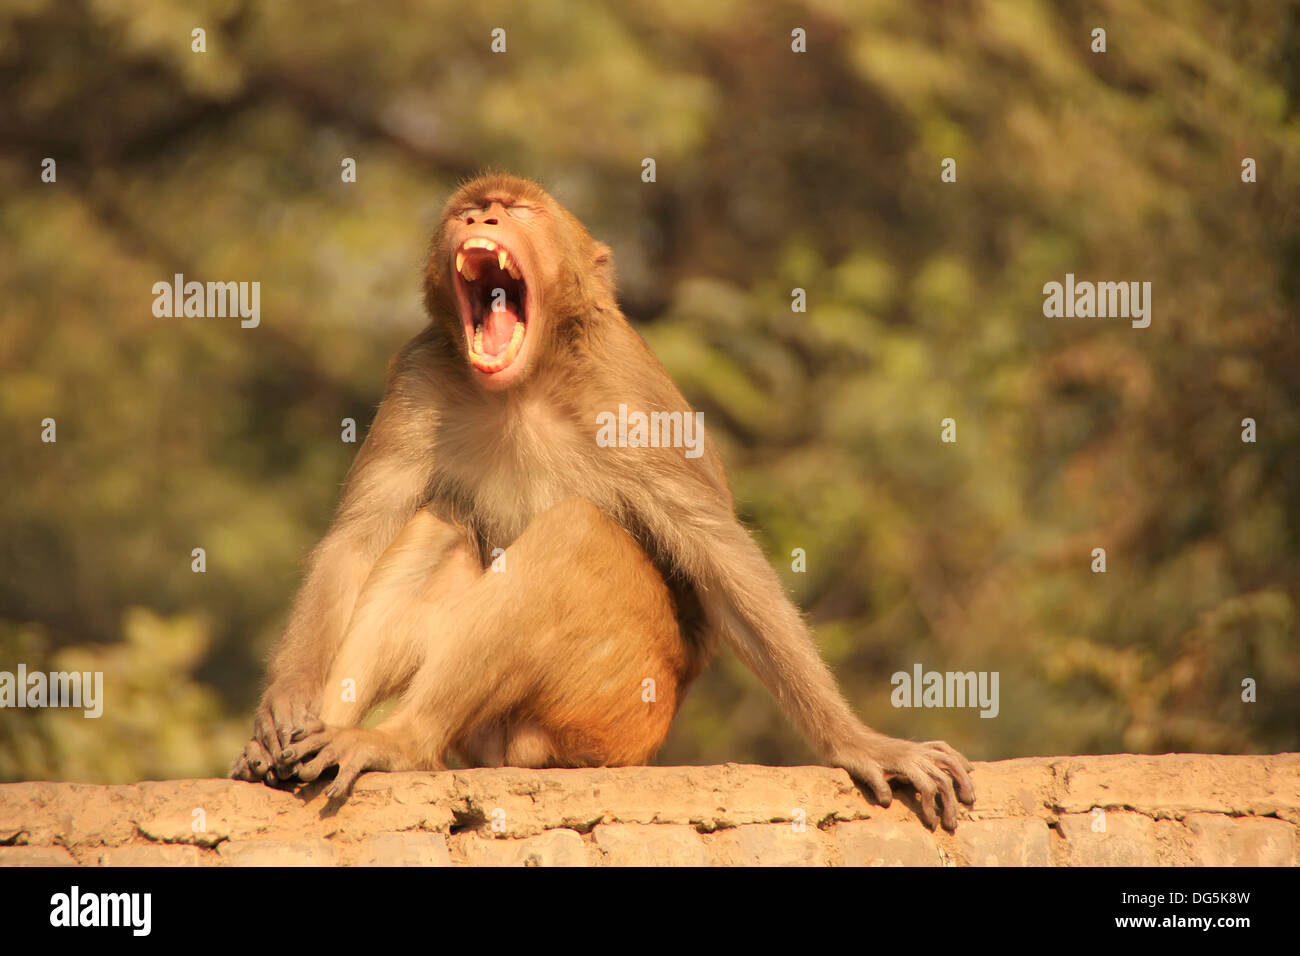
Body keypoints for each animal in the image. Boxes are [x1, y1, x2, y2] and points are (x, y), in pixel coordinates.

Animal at [230, 172, 975, 830]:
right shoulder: (420, 374)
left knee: (574, 535)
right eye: (467, 212)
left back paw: (400, 743)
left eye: (518, 211)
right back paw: (304, 746)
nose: (480, 219)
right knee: (438, 526)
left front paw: (858, 741)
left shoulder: (626, 388)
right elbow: (355, 539)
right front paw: (286, 703)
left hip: (615, 714)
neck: (525, 385)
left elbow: (717, 555)